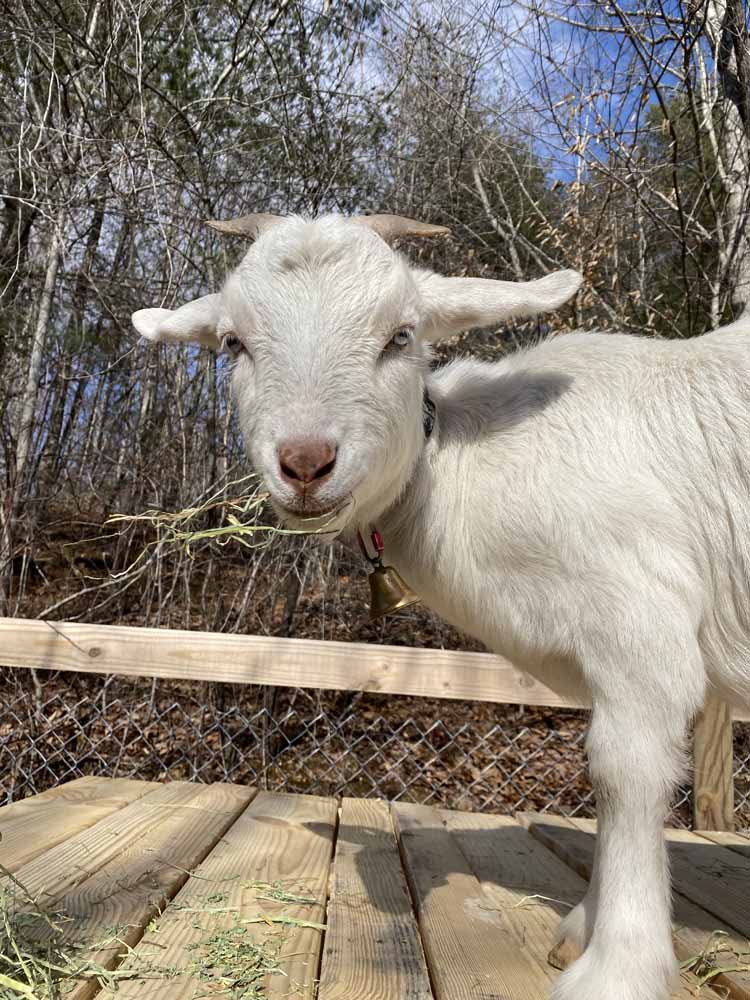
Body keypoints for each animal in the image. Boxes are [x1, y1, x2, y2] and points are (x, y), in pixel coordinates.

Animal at [133, 213, 750, 1000]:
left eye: (401, 335)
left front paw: (618, 964)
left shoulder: (643, 622)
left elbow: (624, 774)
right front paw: (585, 925)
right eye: (233, 343)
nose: (305, 463)